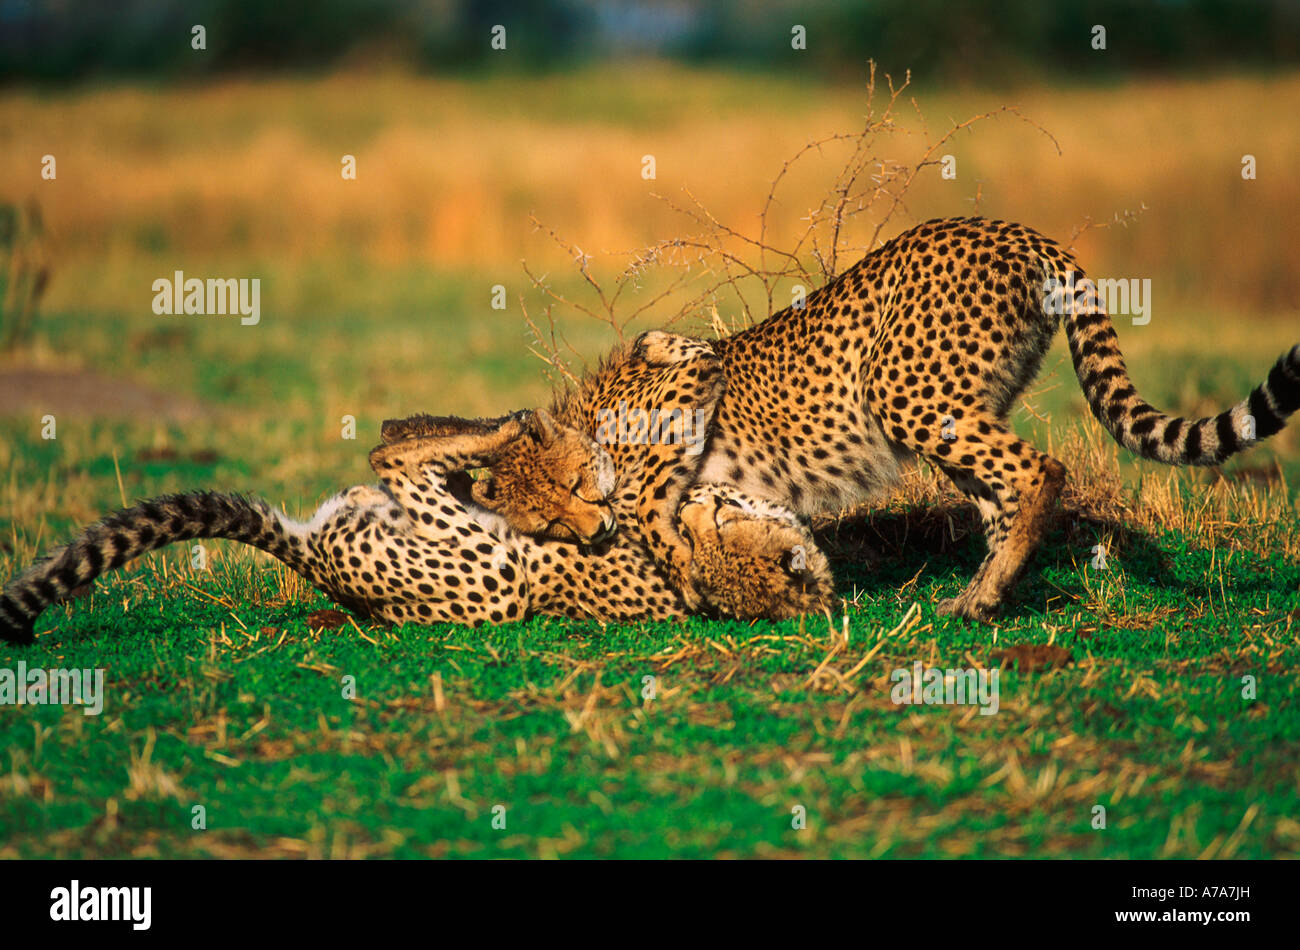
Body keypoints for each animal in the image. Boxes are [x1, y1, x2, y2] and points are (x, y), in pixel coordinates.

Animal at [617, 216, 1300, 623]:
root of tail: (1017, 231)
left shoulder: (667, 426)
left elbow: (649, 507)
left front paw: (685, 572)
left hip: (904, 392)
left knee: (1039, 470)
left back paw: (987, 592)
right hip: (961, 405)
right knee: (1000, 496)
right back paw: (983, 593)